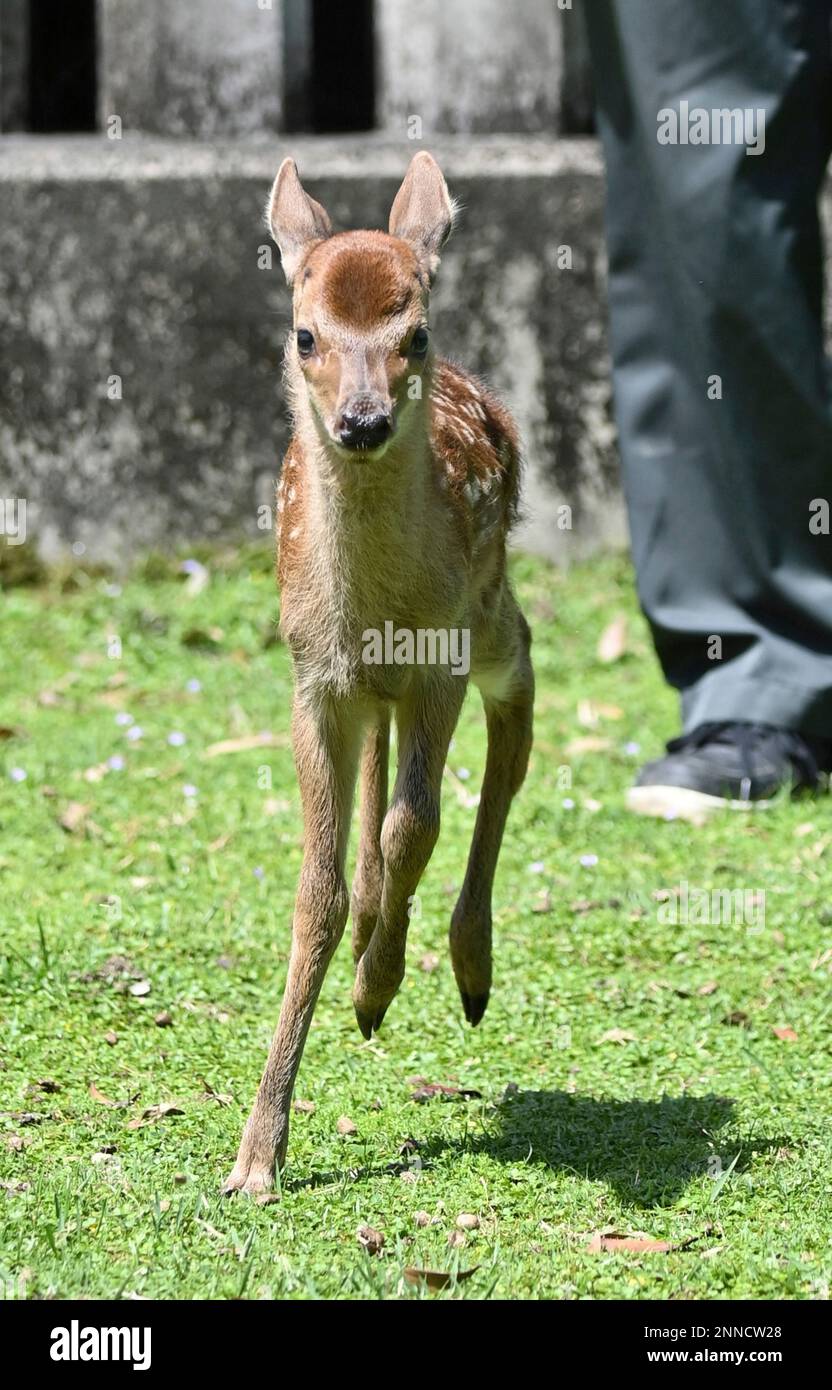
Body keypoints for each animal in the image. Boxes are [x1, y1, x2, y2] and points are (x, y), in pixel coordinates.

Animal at [224, 152, 534, 1195]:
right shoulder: (311, 682)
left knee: (516, 724)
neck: (375, 611)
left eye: (416, 332)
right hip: (376, 687)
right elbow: (314, 890)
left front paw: (375, 989)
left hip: (490, 612)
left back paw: (467, 969)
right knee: (381, 781)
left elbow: (414, 828)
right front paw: (256, 1157)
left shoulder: (439, 659)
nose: (362, 421)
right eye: (306, 333)